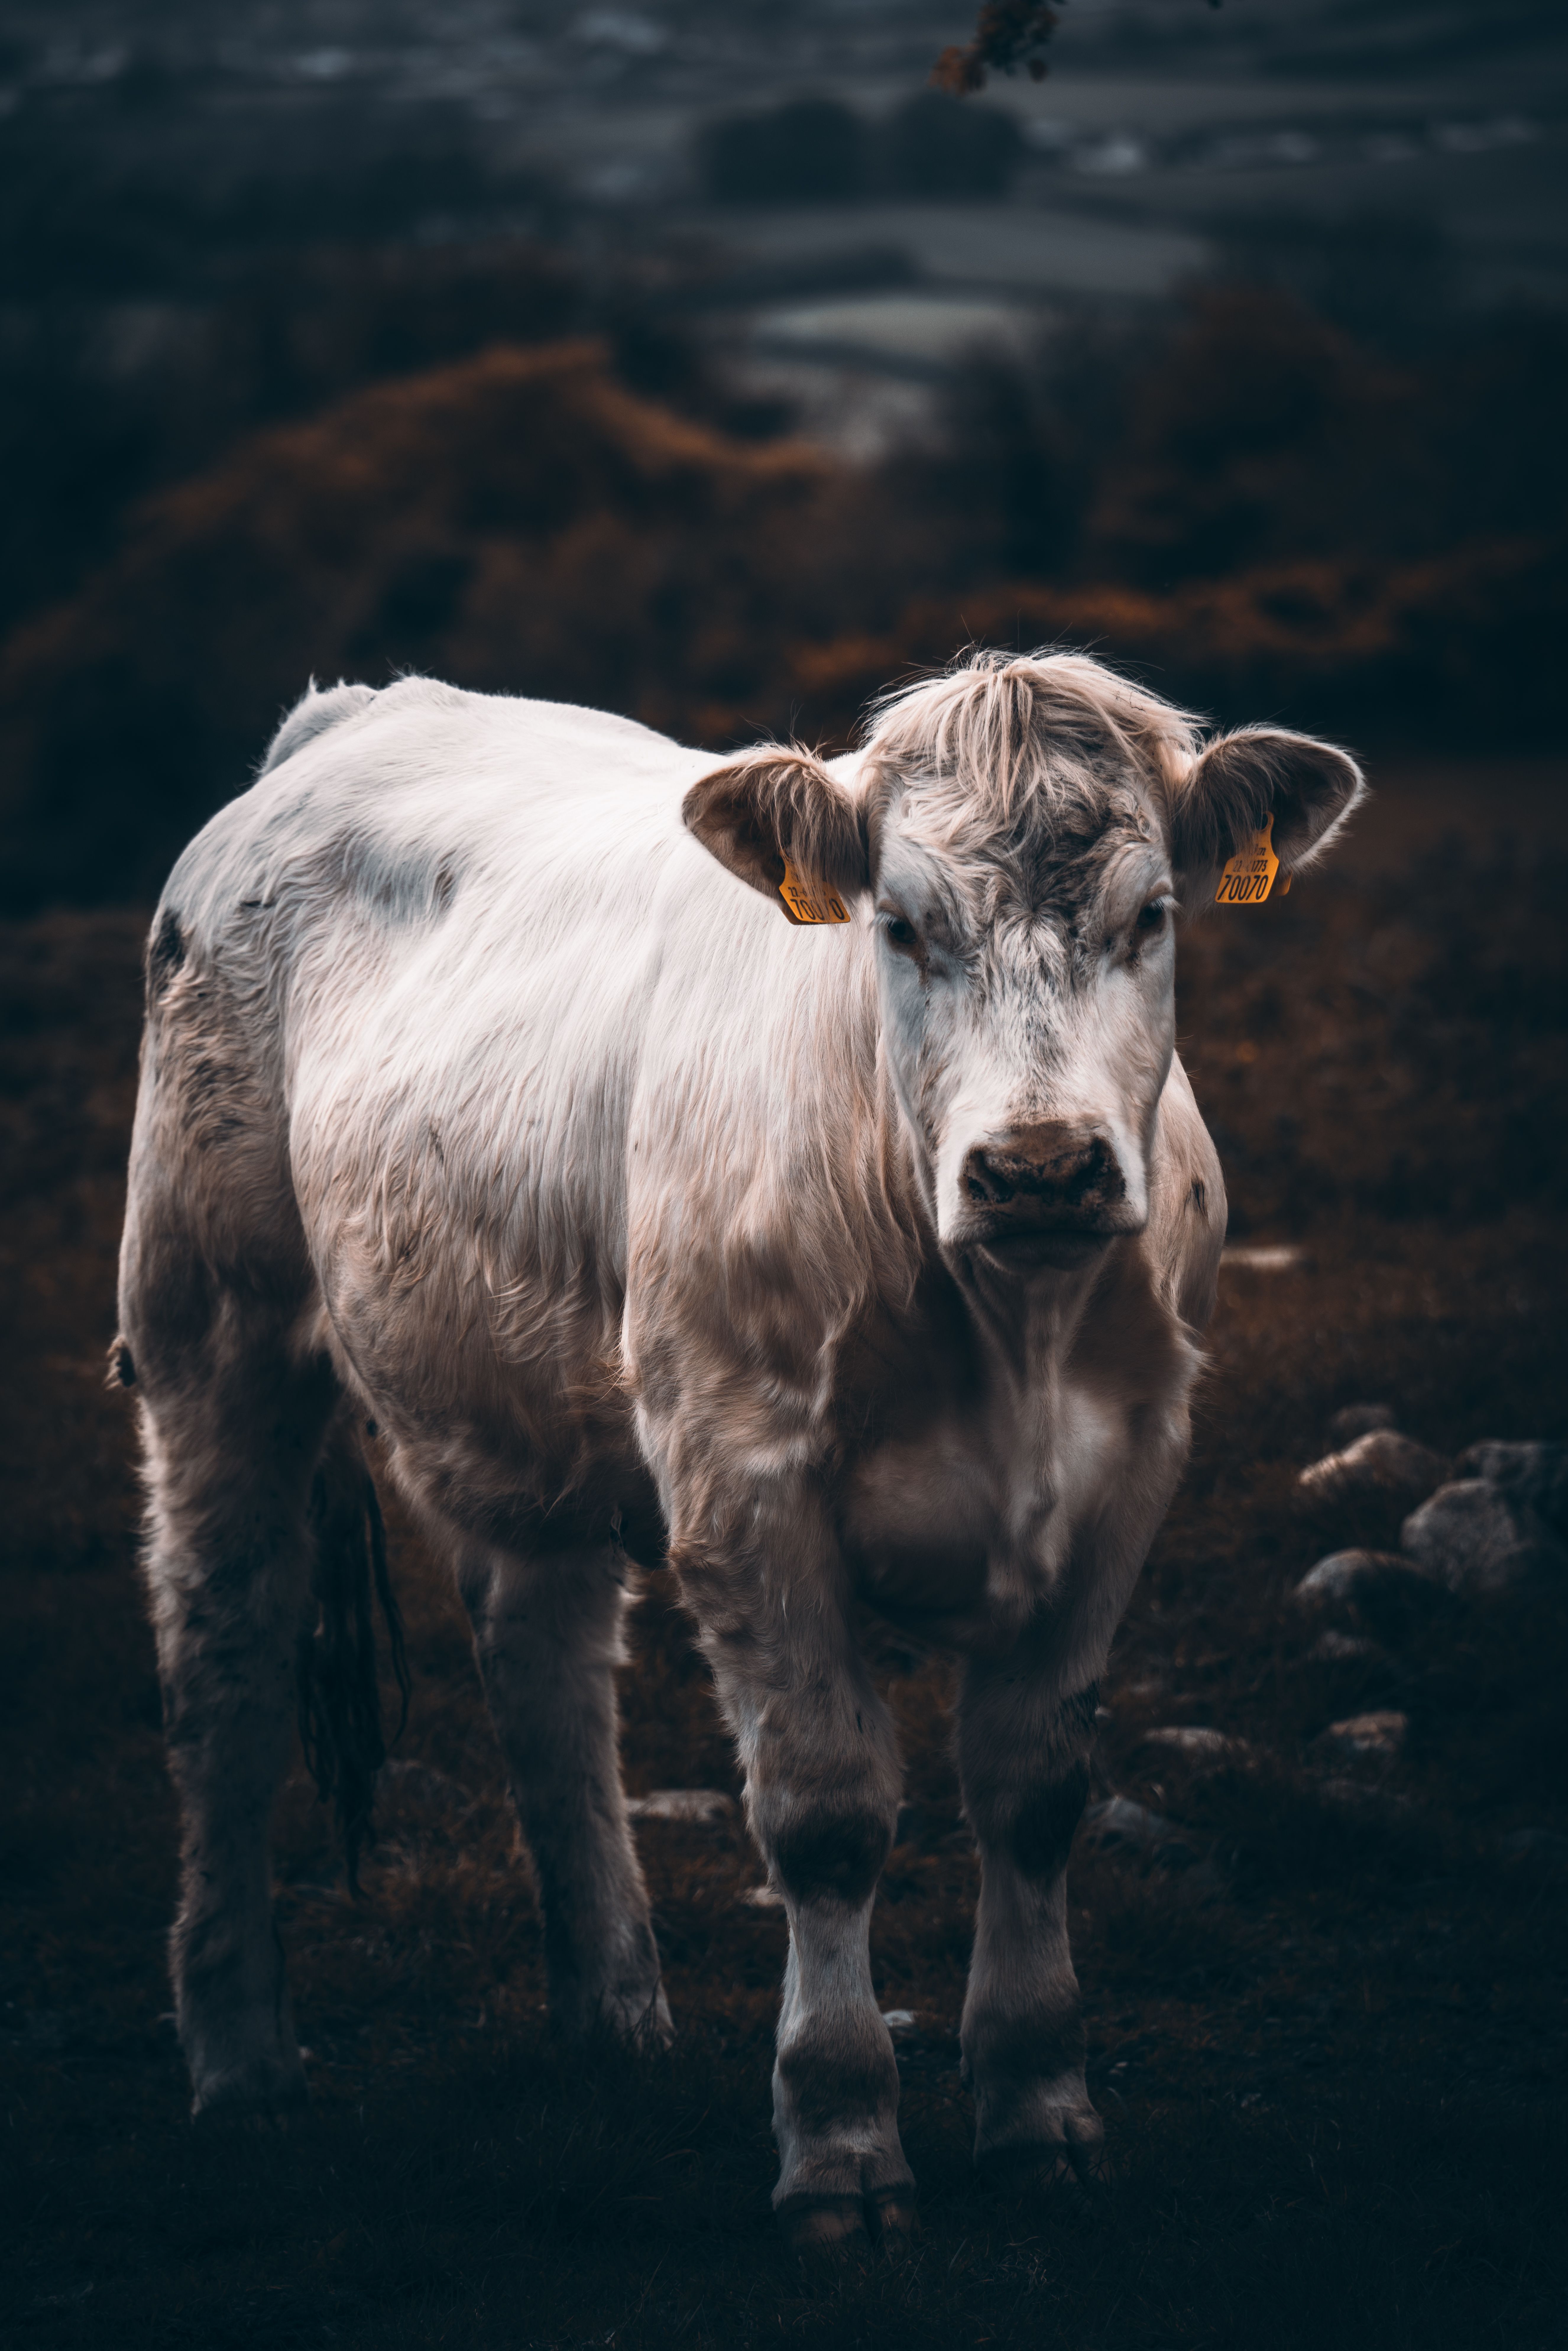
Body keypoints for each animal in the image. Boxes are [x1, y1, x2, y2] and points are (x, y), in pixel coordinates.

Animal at [114, 651, 1362, 2250]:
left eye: (1149, 915)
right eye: (899, 923)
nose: (1039, 1168)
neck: (1002, 1330)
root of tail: (359, 712)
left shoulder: (1129, 1469)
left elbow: (1035, 1792)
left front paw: (1038, 2107)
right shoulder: (740, 1475)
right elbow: (826, 1815)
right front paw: (839, 2142)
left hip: (525, 1396)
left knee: (542, 1660)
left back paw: (612, 2018)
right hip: (213, 1332)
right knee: (227, 1667)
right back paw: (243, 2060)